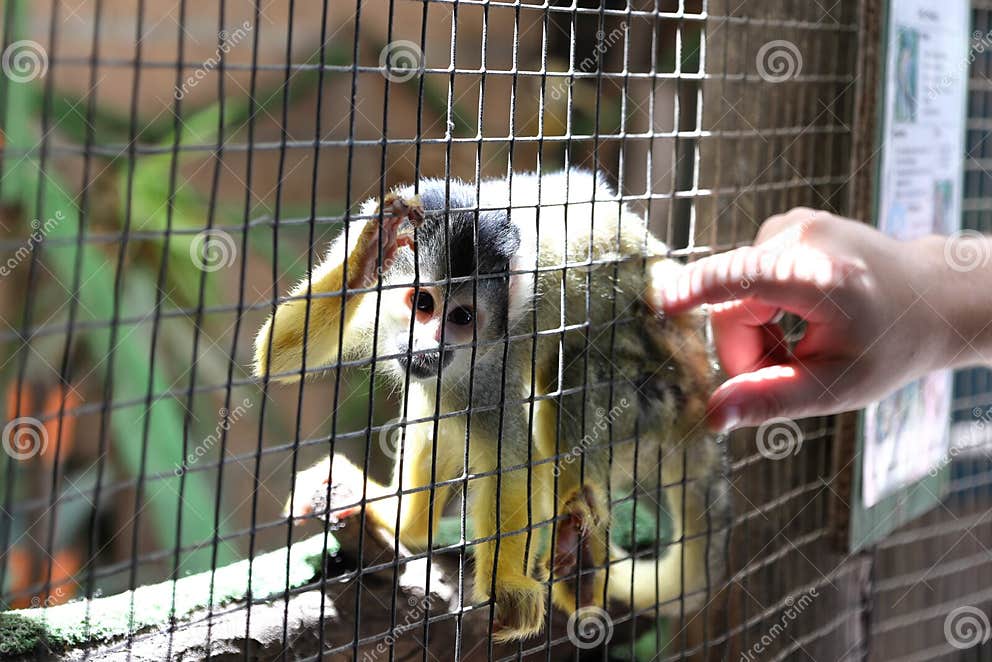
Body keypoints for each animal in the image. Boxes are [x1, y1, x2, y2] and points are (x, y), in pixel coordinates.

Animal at [253, 168, 728, 643]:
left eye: (462, 318)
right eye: (422, 303)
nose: (428, 345)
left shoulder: (491, 365)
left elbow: (509, 460)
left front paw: (506, 583)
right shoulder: (377, 308)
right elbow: (277, 356)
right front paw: (369, 250)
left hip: (658, 393)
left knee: (575, 367)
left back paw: (580, 562)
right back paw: (407, 525)